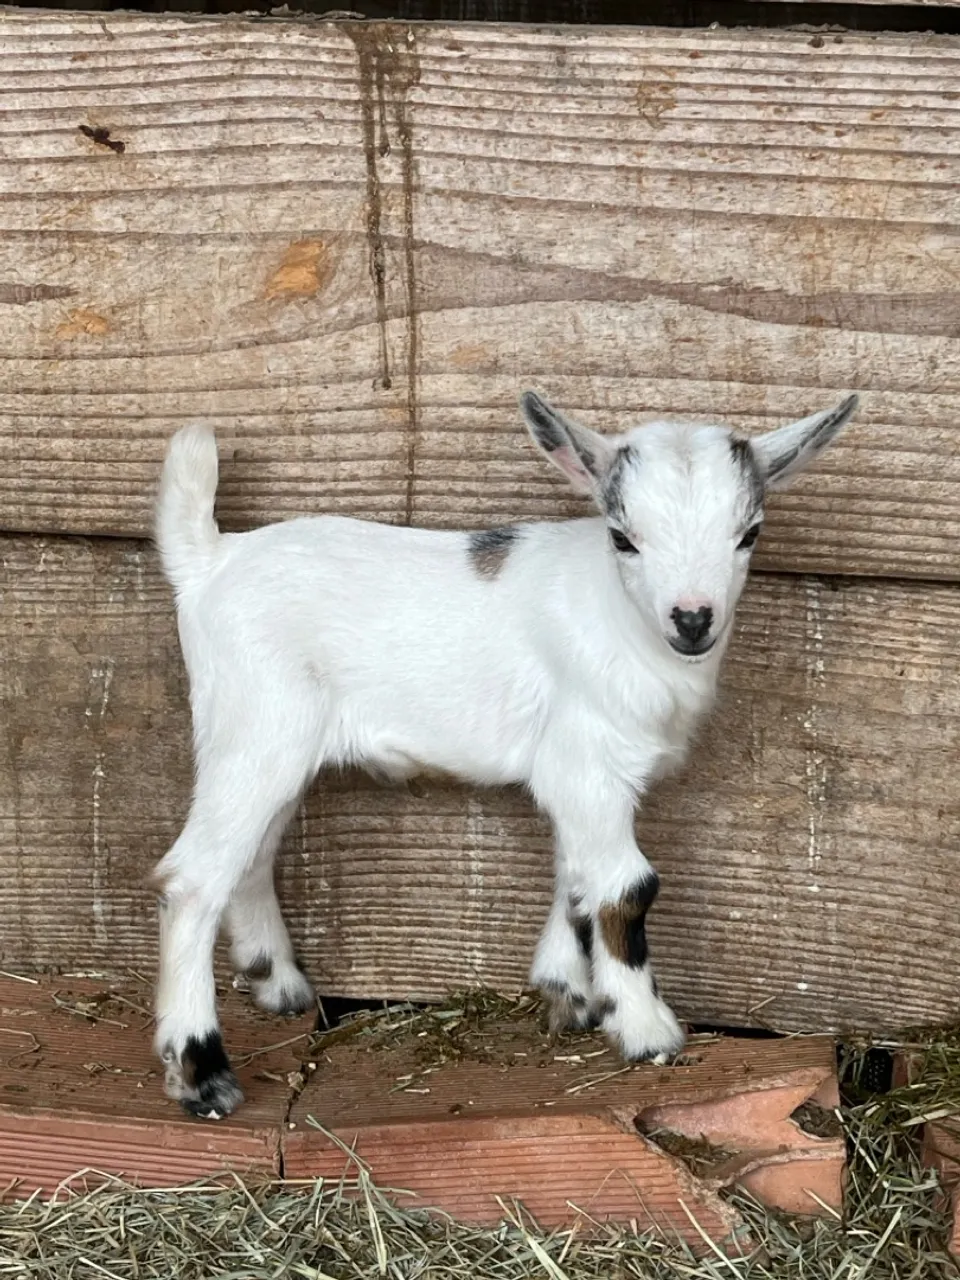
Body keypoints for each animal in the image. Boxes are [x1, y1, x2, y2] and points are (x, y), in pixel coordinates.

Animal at [152, 390, 859, 1118]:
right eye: (623, 537)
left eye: (749, 534)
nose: (692, 620)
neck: (623, 620)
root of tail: (208, 559)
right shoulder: (589, 764)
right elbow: (625, 886)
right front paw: (645, 1029)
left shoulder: (578, 778)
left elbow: (577, 879)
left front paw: (568, 992)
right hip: (257, 729)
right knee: (192, 877)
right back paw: (200, 1070)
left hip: (266, 744)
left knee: (251, 856)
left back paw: (278, 982)